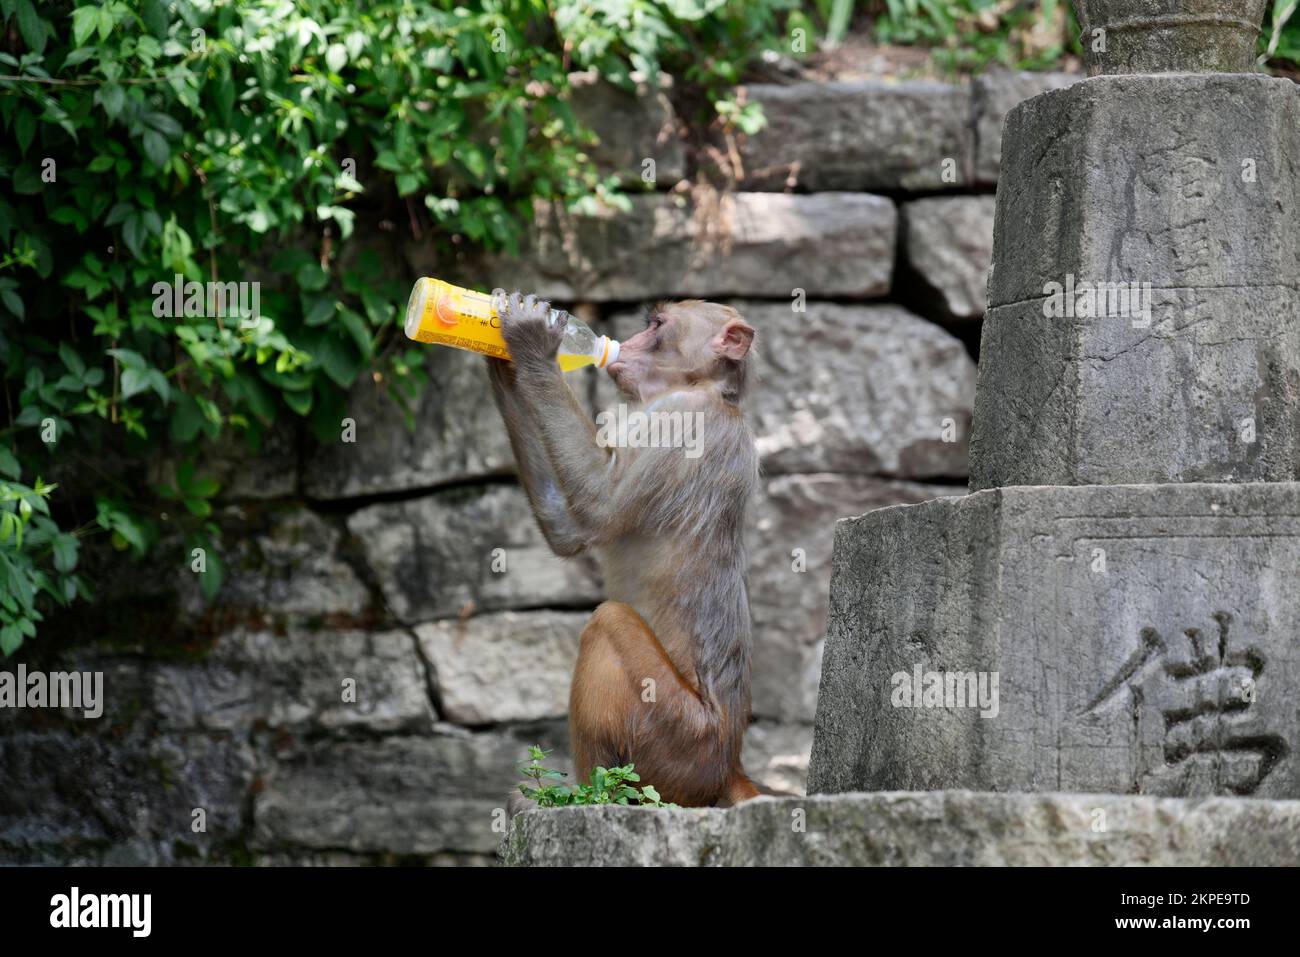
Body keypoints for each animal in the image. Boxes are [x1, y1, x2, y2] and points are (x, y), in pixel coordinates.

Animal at [486, 291, 761, 808]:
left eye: (656, 325)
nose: (625, 345)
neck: (706, 387)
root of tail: (729, 763)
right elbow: (569, 528)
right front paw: (499, 356)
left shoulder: (685, 421)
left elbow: (598, 504)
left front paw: (532, 341)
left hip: (679, 740)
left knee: (608, 623)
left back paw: (587, 796)